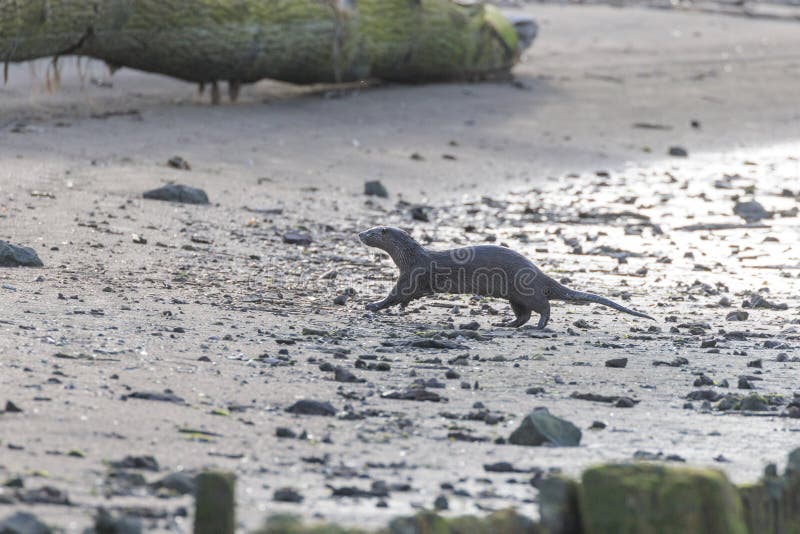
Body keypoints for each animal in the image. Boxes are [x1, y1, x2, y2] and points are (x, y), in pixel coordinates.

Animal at [358, 226, 655, 328]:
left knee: (543, 306)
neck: (410, 256)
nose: (360, 233)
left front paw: (372, 305)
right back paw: (506, 324)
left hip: (526, 288)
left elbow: (396, 294)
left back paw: (539, 326)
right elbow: (409, 295)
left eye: (372, 231)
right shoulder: (414, 278)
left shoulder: (412, 273)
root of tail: (540, 274)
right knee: (523, 314)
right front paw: (401, 307)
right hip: (515, 296)